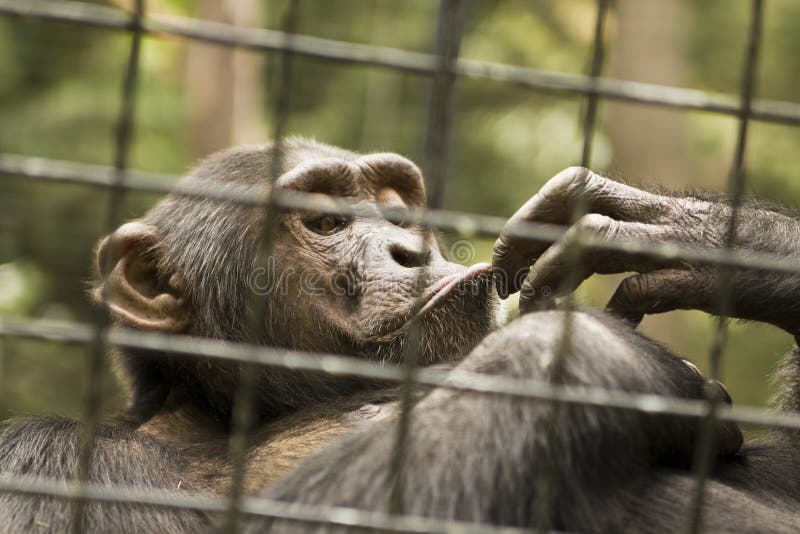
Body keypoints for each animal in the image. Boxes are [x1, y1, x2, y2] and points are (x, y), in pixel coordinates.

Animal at [0, 141, 799, 533]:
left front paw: (716, 238)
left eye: (396, 209)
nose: (410, 248)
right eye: (325, 220)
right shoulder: (43, 460)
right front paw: (579, 350)